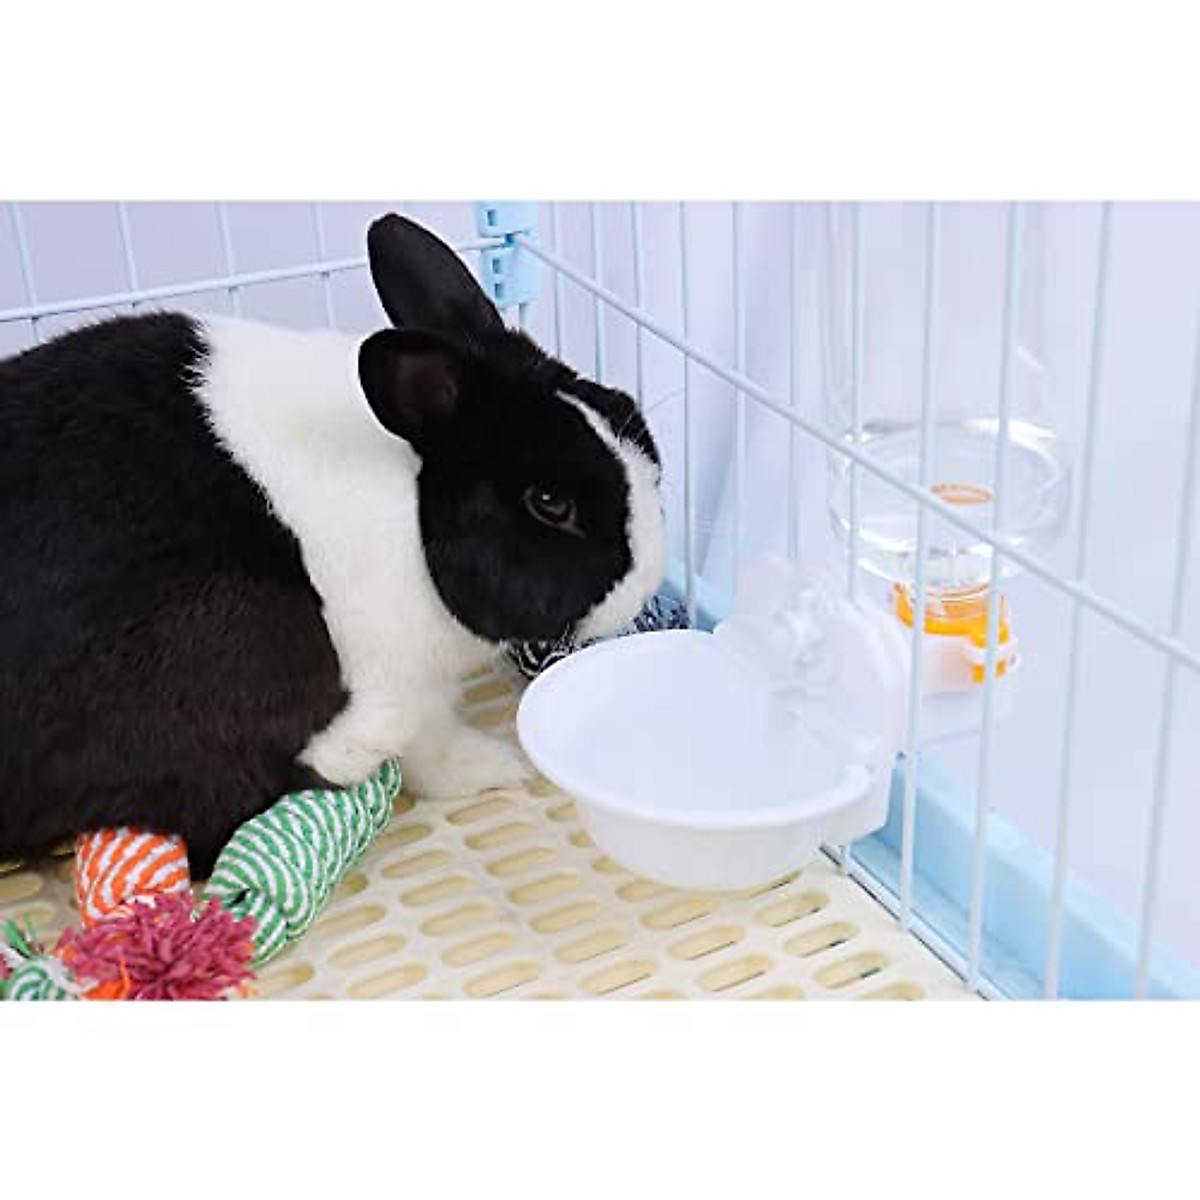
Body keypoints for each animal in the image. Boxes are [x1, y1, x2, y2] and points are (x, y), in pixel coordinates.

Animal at [0, 213, 666, 877]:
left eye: (622, 407)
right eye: (550, 503)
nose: (649, 579)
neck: (415, 503)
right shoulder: (400, 667)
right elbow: (431, 745)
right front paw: (496, 767)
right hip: (237, 630)